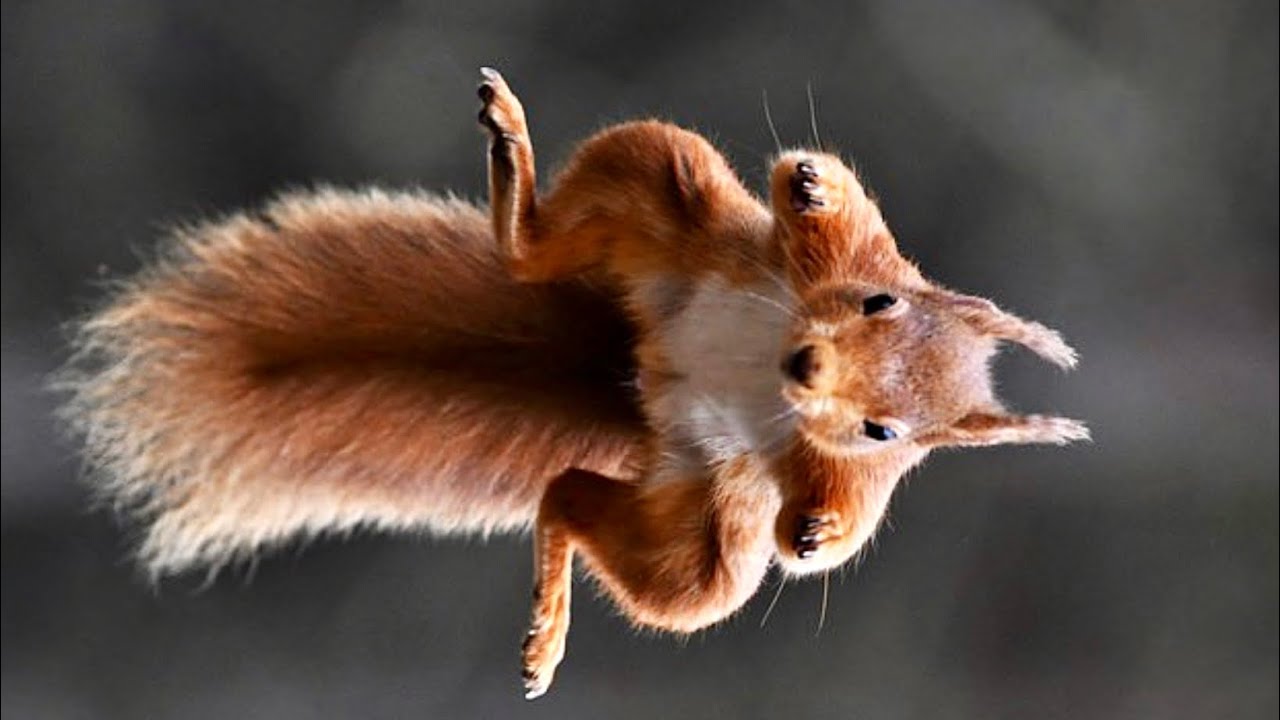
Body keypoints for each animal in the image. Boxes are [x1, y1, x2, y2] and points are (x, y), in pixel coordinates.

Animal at [59, 67, 1087, 699]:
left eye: (886, 433)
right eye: (879, 302)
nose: (803, 368)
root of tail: (645, 377)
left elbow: (824, 528)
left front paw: (816, 531)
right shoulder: (847, 256)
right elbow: (825, 181)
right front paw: (810, 190)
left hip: (697, 548)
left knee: (572, 502)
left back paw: (549, 615)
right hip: (664, 179)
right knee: (533, 257)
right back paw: (510, 152)